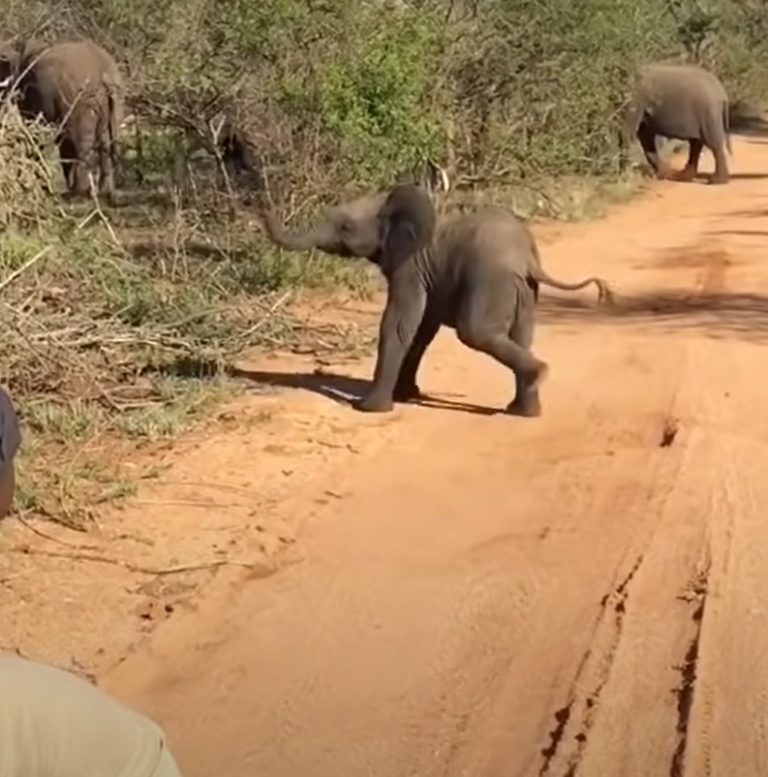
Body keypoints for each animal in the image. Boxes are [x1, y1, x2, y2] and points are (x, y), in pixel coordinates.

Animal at [0, 37, 124, 201]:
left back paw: (76, 194)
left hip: (79, 100)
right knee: (106, 140)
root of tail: (106, 74)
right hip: (113, 101)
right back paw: (103, 192)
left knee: (81, 142)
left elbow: (36, 131)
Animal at [261, 184, 611, 416]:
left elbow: (399, 324)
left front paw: (369, 408)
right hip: (525, 292)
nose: (259, 206)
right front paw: (406, 396)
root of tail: (526, 259)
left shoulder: (409, 266)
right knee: (521, 336)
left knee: (477, 333)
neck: (388, 202)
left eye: (345, 226)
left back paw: (538, 377)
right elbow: (421, 331)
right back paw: (523, 409)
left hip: (489, 282)